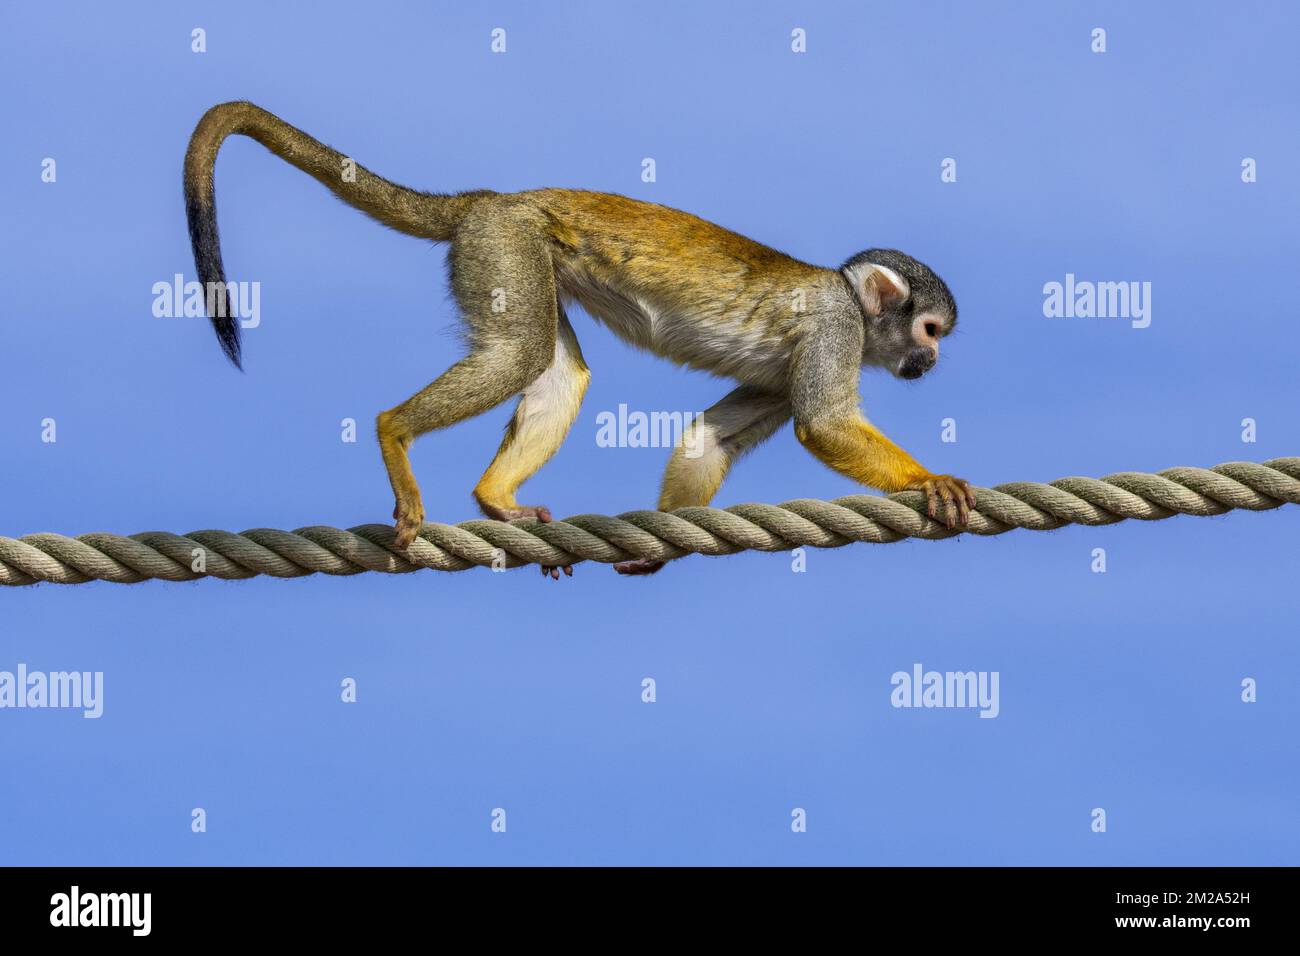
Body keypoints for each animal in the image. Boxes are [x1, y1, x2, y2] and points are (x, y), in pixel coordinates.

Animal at [184, 102, 975, 578]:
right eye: (930, 330)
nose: (933, 360)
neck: (854, 307)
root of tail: (487, 199)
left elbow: (709, 438)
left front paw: (663, 544)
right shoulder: (835, 326)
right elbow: (824, 424)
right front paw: (929, 480)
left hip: (513, 258)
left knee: (556, 369)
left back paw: (496, 499)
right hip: (506, 245)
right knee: (520, 356)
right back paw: (393, 434)